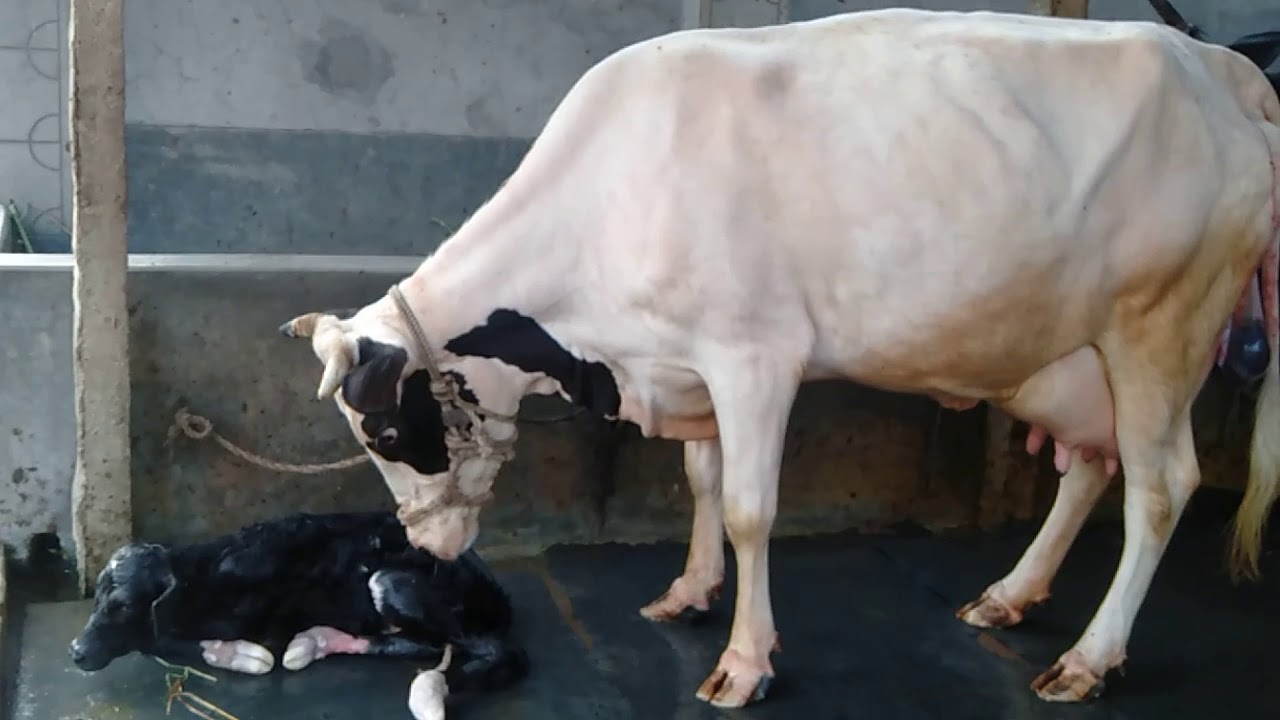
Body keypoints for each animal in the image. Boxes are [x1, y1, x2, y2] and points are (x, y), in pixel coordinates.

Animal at [68, 511, 528, 701]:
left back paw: (449, 685)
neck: (200, 578)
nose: (76, 651)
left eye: (123, 605)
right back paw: (318, 641)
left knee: (497, 652)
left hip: (394, 583)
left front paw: (234, 654)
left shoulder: (265, 622)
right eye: (96, 599)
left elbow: (174, 645)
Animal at [278, 8, 1280, 709]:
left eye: (386, 431)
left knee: (1161, 488)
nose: (422, 544)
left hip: (1161, 330)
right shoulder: (686, 365)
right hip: (1067, 358)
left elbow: (751, 511)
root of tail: (1220, 66)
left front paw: (744, 661)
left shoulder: (754, 357)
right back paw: (1010, 596)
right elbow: (702, 479)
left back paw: (1089, 658)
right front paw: (688, 591)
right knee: (1091, 468)